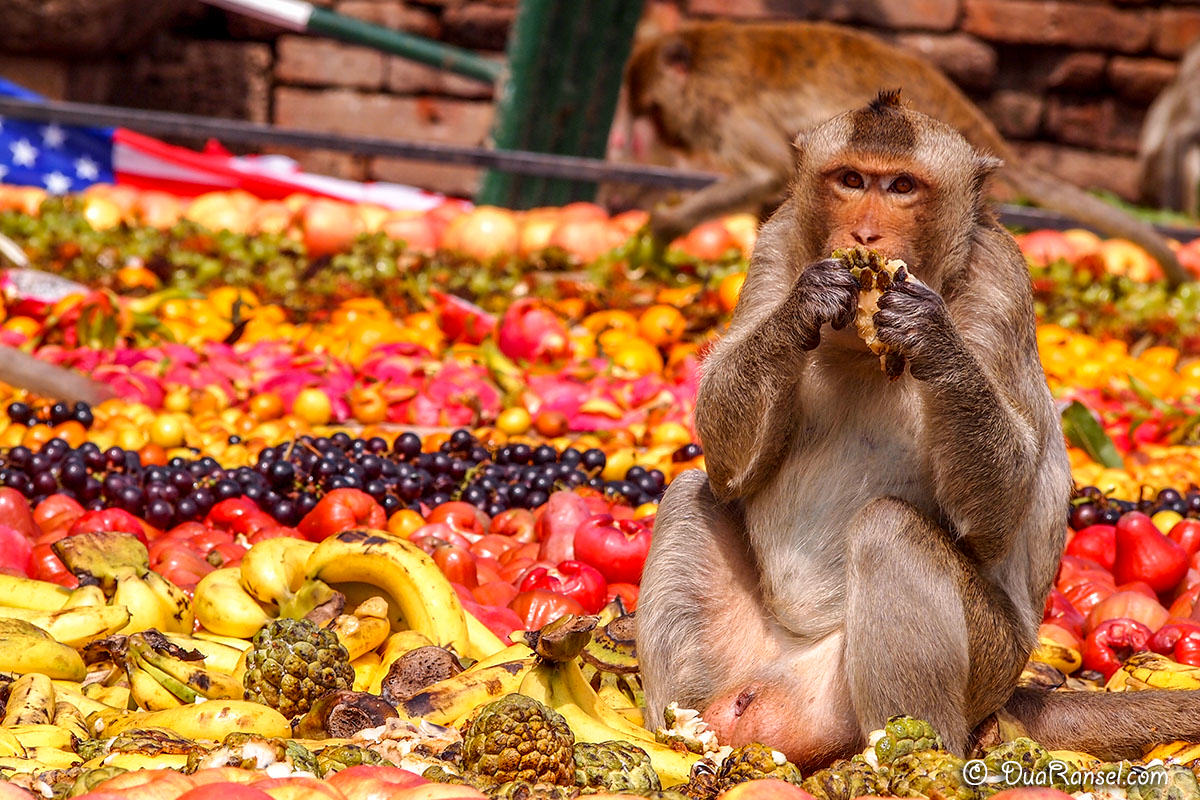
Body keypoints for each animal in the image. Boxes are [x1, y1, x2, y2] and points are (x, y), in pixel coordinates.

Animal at [619, 18, 1190, 289]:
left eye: (650, 111)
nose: (650, 138)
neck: (703, 58)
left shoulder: (724, 109)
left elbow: (763, 173)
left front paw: (662, 230)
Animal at [643, 89, 1200, 767]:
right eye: (852, 180)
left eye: (902, 186)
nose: (865, 233)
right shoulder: (775, 242)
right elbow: (728, 468)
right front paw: (808, 300)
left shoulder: (1000, 280)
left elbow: (995, 515)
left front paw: (927, 330)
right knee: (690, 495)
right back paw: (680, 733)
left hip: (982, 666)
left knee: (891, 530)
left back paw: (904, 755)